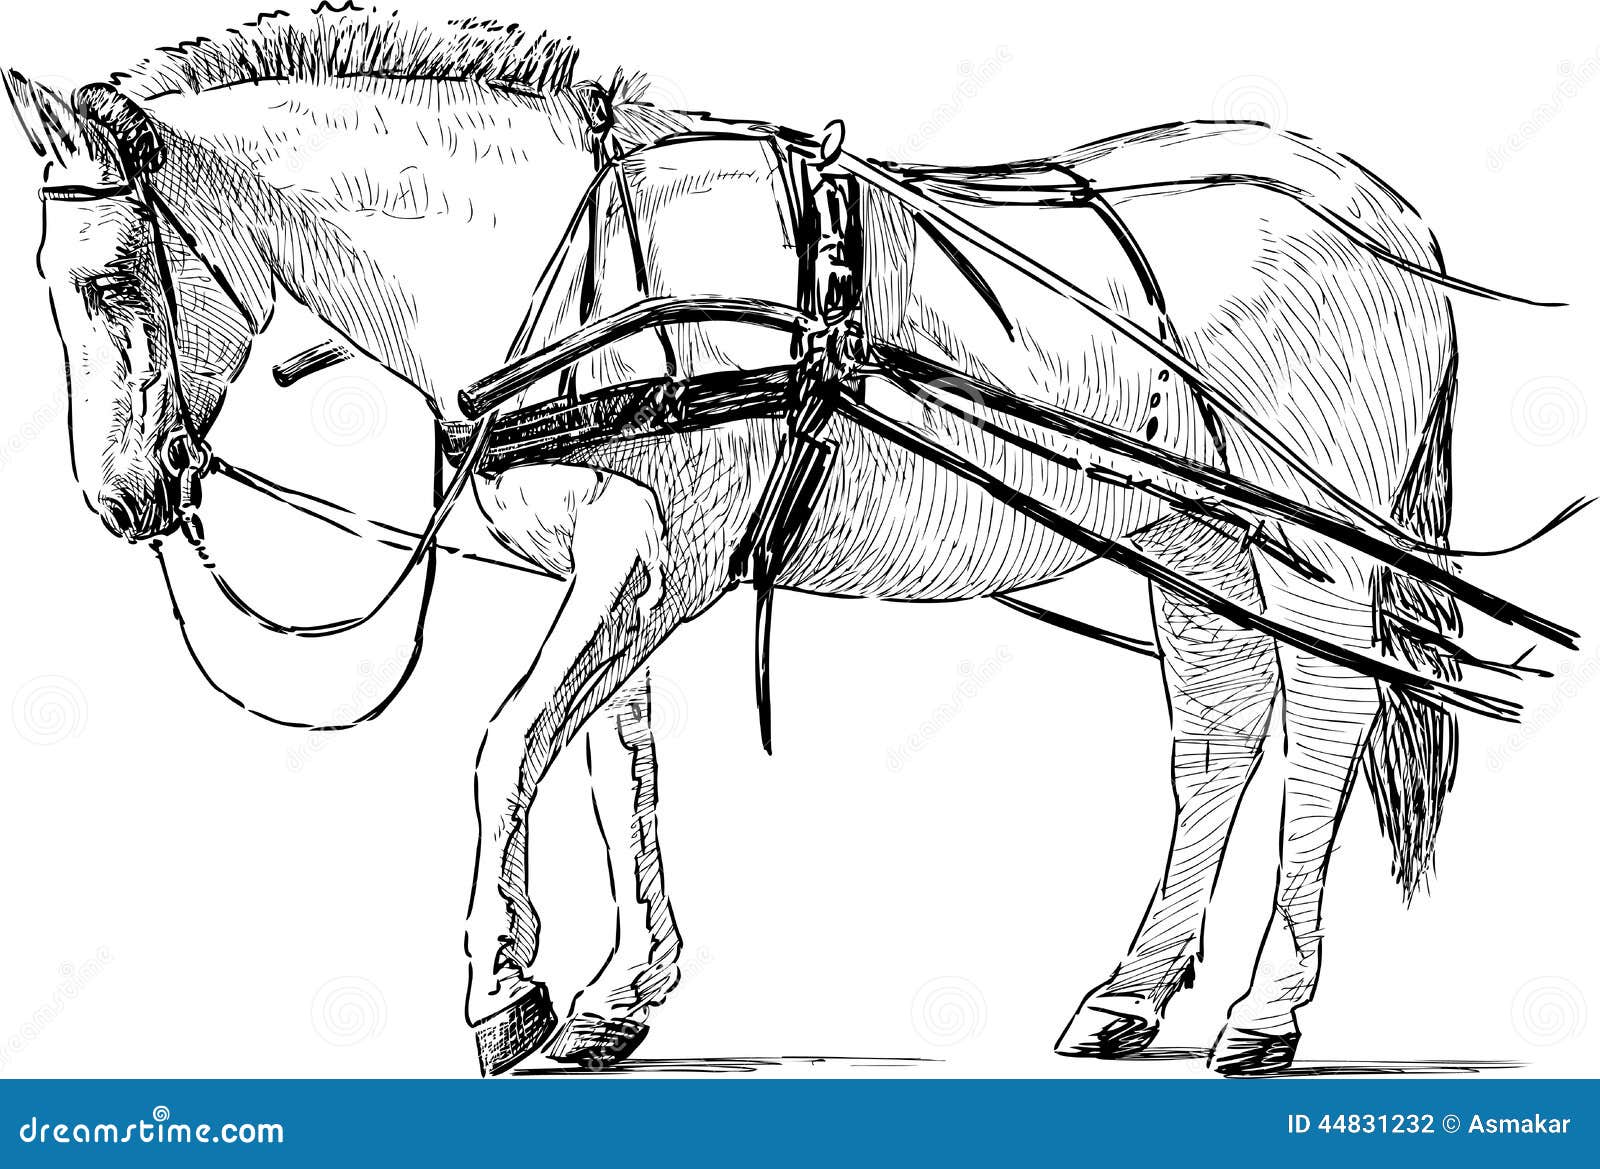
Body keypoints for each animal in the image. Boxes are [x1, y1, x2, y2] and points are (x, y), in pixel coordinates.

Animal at [2, 5, 1544, 1075]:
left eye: (115, 277)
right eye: (46, 280)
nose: (124, 497)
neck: (572, 262)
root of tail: (1365, 203)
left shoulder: (646, 556)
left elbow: (509, 746)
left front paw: (508, 990)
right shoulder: (620, 570)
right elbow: (612, 761)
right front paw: (618, 998)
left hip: (1314, 550)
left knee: (1331, 714)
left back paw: (1266, 1014)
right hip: (1199, 538)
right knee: (1218, 732)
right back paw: (1128, 992)